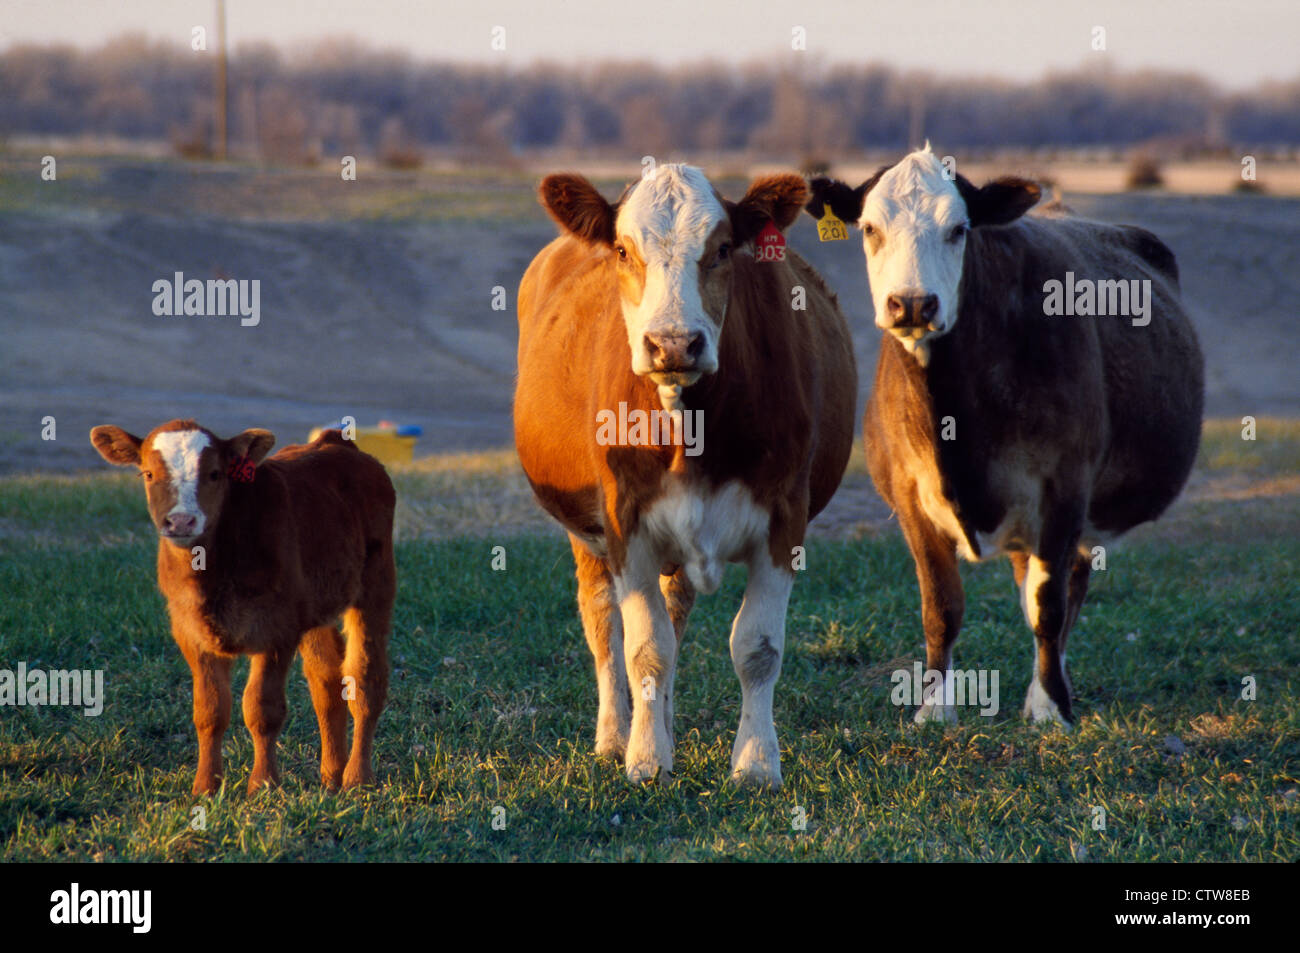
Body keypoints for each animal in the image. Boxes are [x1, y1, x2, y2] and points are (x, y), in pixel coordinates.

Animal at [90, 420, 396, 794]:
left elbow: (262, 709)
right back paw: (331, 777)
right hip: (314, 607)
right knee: (326, 680)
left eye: (215, 473)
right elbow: (210, 710)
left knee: (365, 678)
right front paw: (206, 785)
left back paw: (357, 777)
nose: (181, 521)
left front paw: (263, 784)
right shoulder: (190, 632)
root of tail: (335, 441)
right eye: (148, 473)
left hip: (376, 583)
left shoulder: (277, 629)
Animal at [515, 165, 857, 786]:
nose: (673, 343)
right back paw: (614, 736)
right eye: (623, 250)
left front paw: (755, 763)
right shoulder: (623, 521)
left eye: (721, 249)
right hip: (585, 532)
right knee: (603, 624)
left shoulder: (785, 518)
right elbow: (644, 646)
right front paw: (646, 759)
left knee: (675, 614)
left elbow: (756, 646)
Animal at [807, 145, 1204, 728]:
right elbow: (940, 607)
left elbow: (1048, 606)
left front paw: (1051, 708)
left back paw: (1047, 688)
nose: (912, 304)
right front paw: (933, 709)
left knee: (1062, 589)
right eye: (870, 228)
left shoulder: (1063, 484)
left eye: (959, 229)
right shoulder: (909, 497)